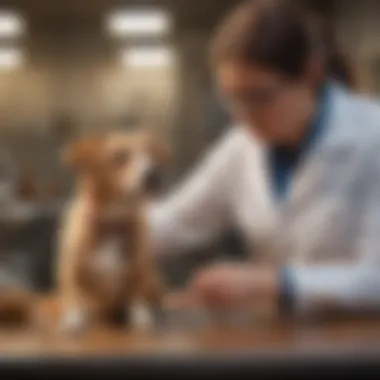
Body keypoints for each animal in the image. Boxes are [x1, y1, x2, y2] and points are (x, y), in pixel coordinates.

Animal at [56, 131, 169, 336]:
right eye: (119, 156)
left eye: (151, 155)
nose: (153, 173)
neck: (112, 221)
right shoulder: (71, 269)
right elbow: (74, 297)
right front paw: (73, 320)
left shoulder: (138, 268)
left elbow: (136, 297)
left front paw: (141, 317)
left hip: (154, 279)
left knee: (153, 294)